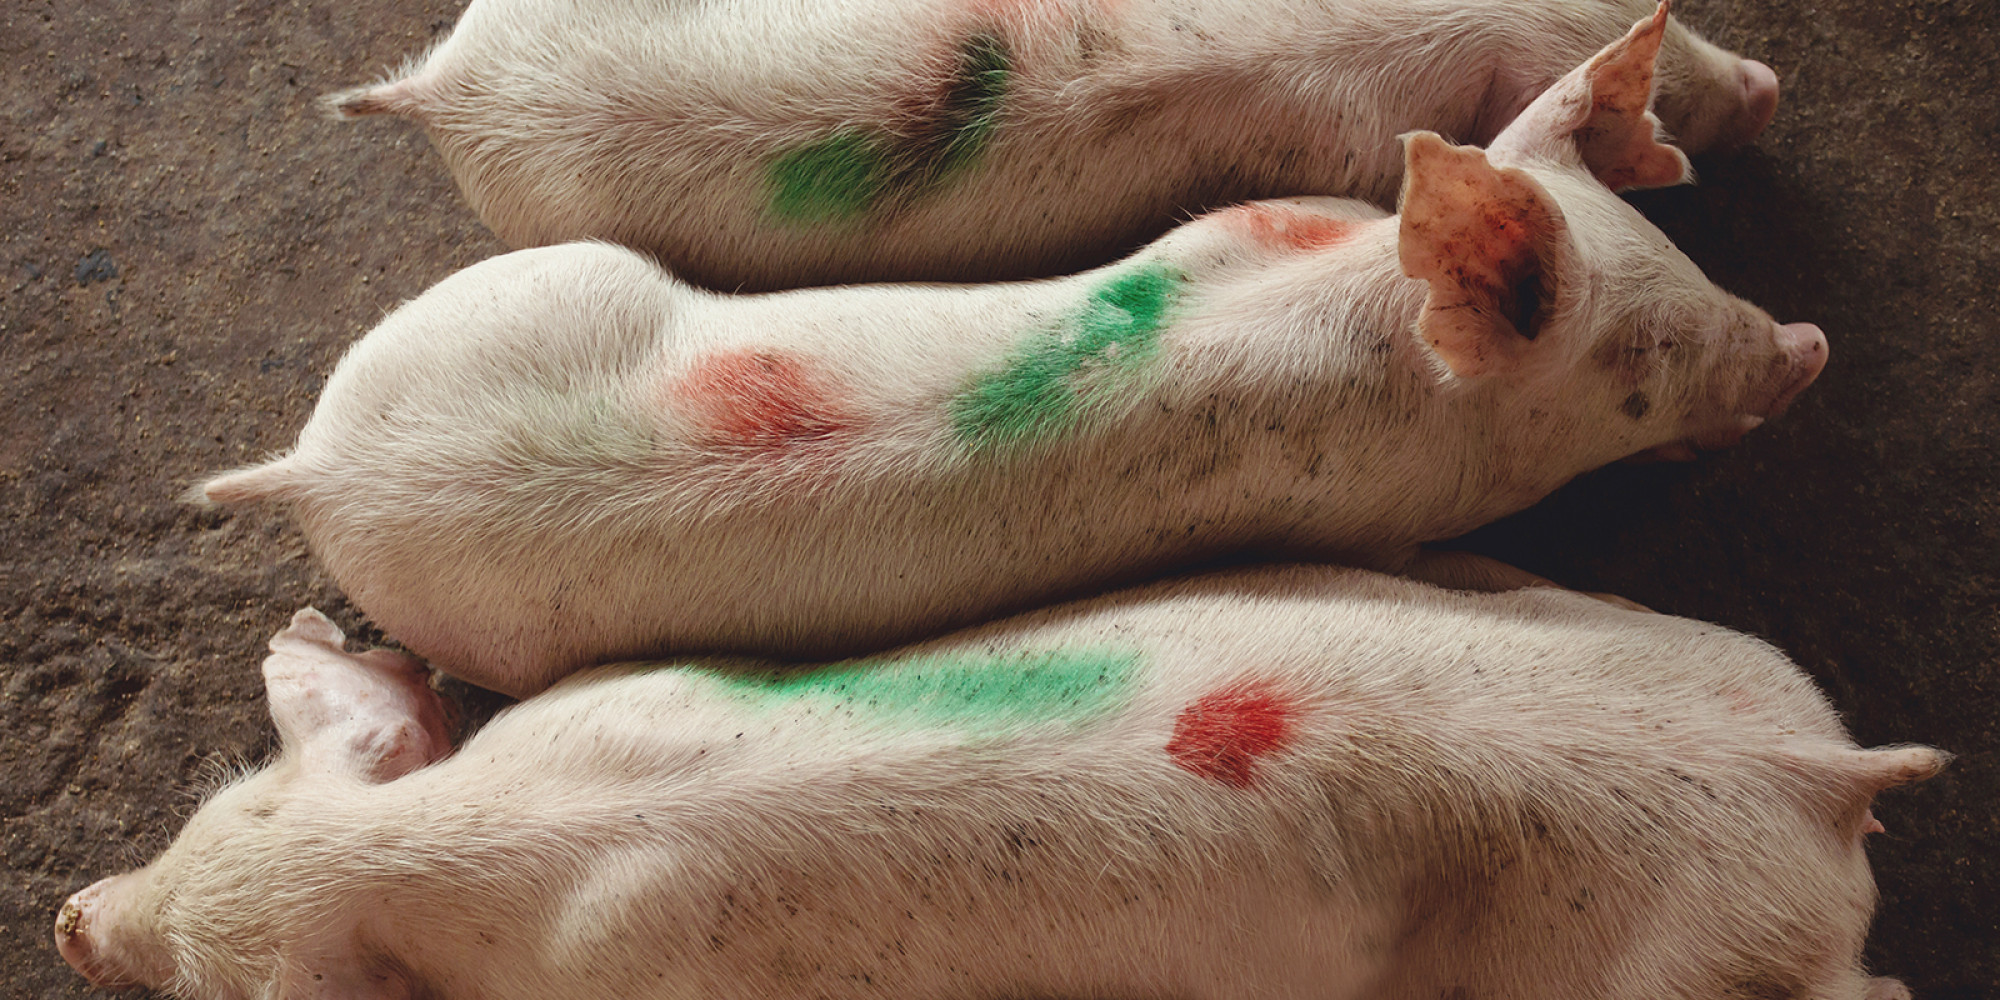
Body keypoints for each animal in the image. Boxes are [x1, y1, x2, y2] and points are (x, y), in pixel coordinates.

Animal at [204, 12, 1828, 696]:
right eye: (1638, 370)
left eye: (1681, 257)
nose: (1805, 343)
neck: (1360, 322)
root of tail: (320, 467)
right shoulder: (1385, 517)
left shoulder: (1251, 223)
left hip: (546, 285)